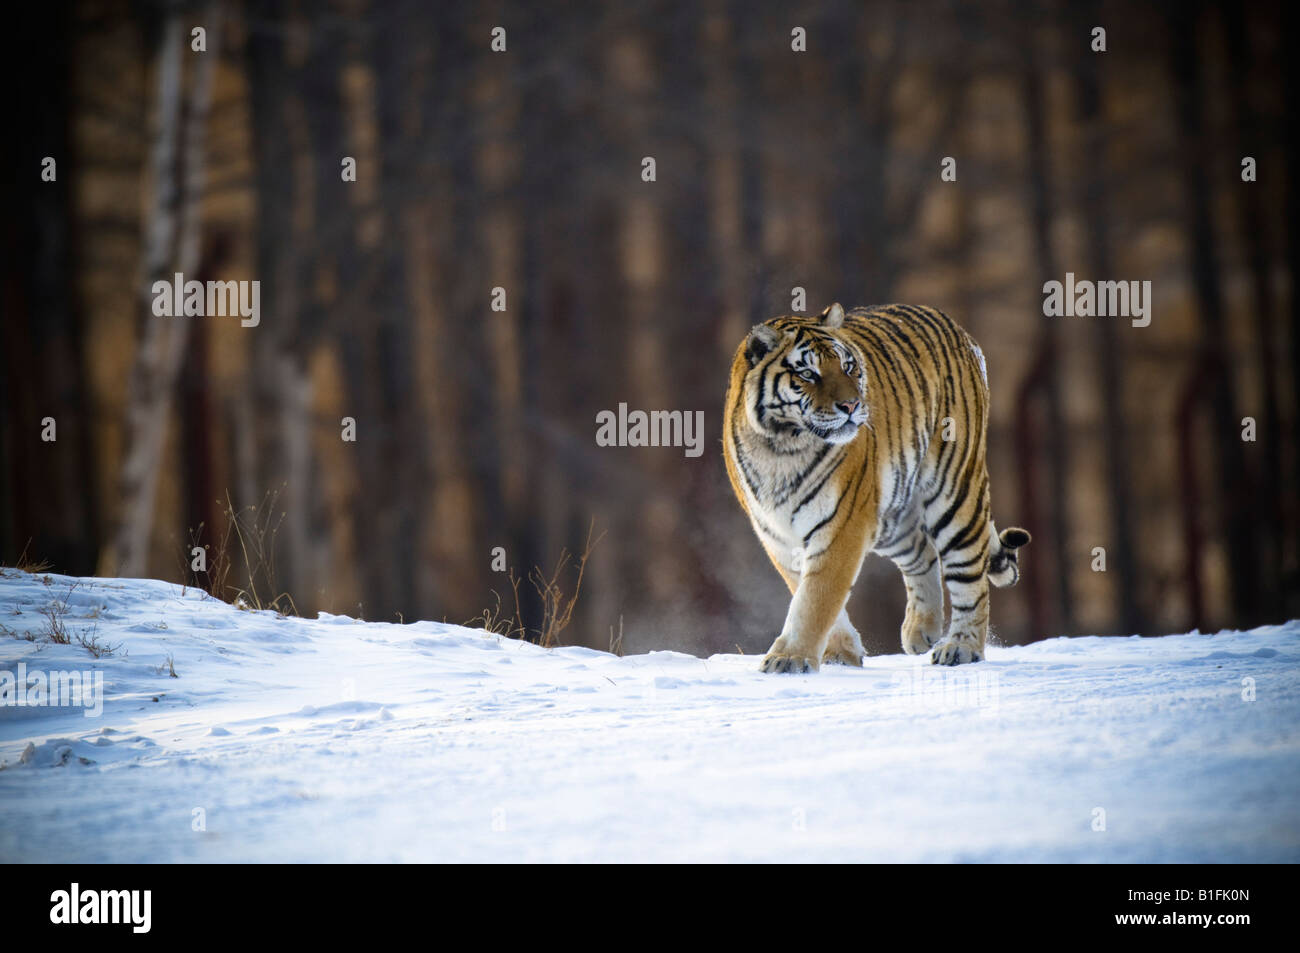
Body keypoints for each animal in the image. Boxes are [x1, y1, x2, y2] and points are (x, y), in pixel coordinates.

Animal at [722, 302, 1030, 672]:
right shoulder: (778, 535)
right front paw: (841, 654)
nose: (852, 406)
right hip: (891, 519)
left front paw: (789, 658)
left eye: (848, 367)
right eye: (808, 374)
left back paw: (961, 648)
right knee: (923, 552)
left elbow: (815, 599)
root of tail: (957, 328)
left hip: (954, 493)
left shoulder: (842, 525)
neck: (781, 448)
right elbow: (810, 594)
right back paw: (922, 631)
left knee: (970, 575)